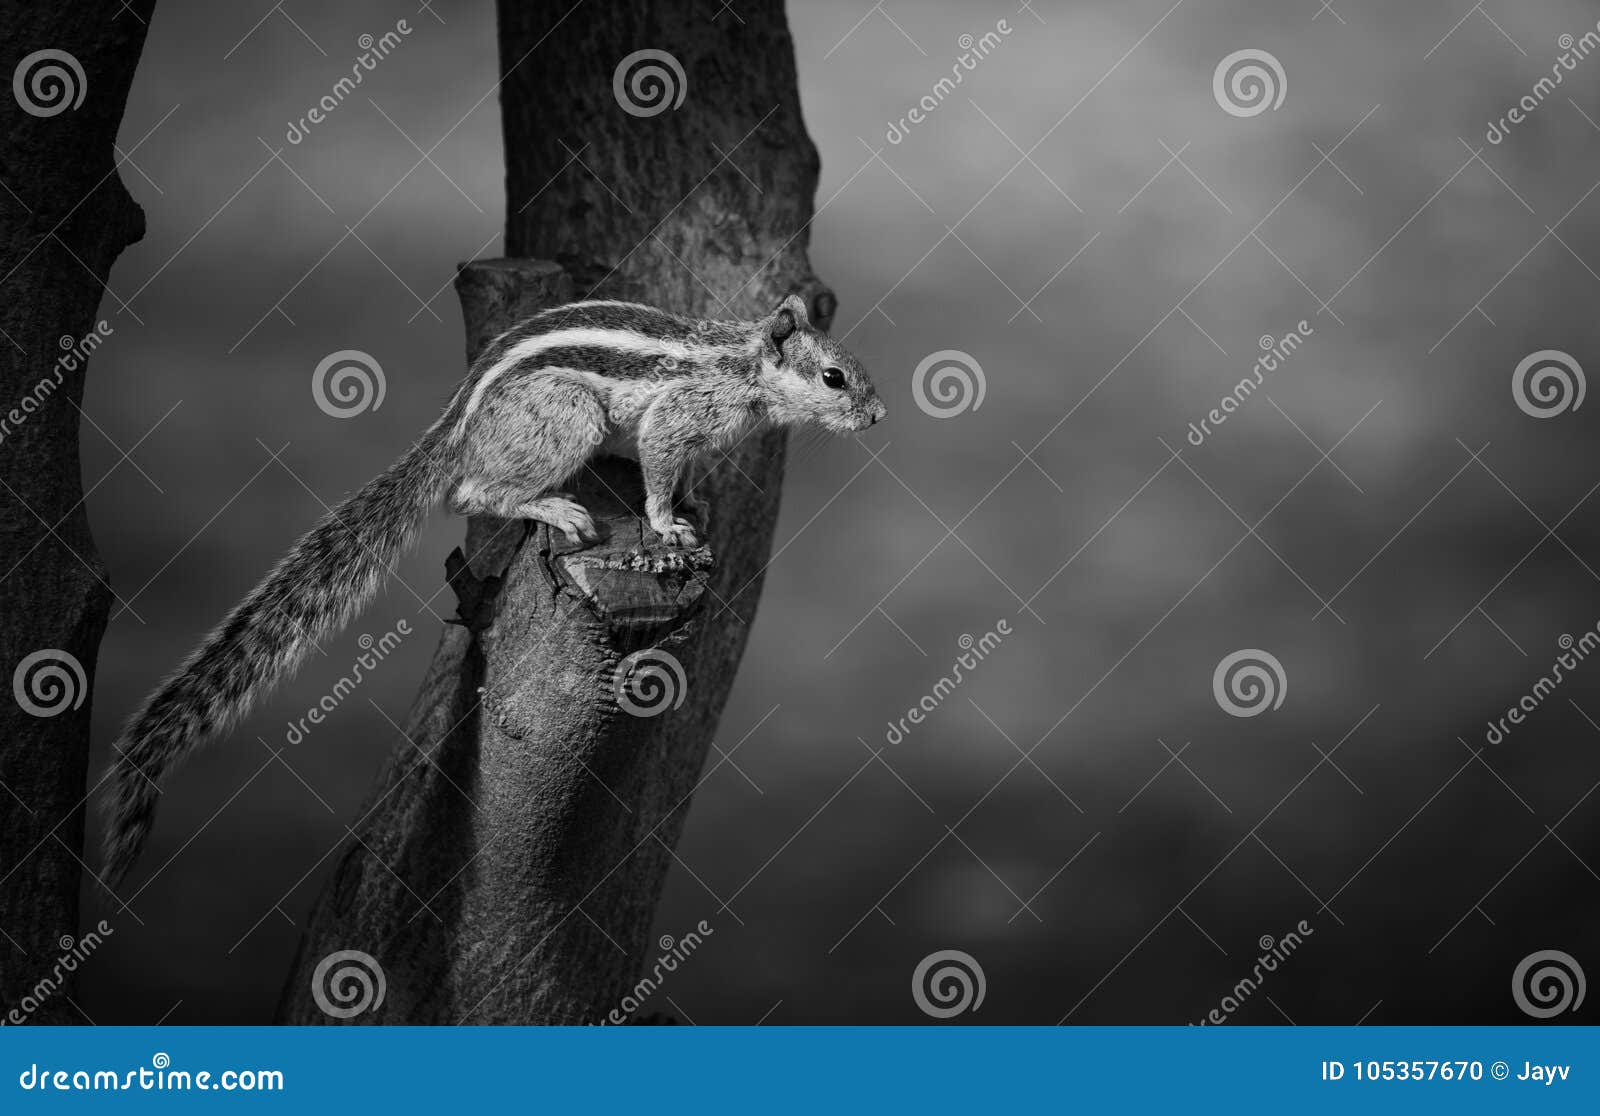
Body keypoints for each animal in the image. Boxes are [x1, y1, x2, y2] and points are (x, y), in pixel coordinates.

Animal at [102, 294, 885, 884]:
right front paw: (667, 524)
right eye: (834, 378)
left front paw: (694, 510)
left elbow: (683, 475)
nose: (878, 415)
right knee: (473, 490)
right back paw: (553, 508)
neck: (742, 367)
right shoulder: (676, 418)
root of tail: (457, 426)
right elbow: (660, 468)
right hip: (564, 418)